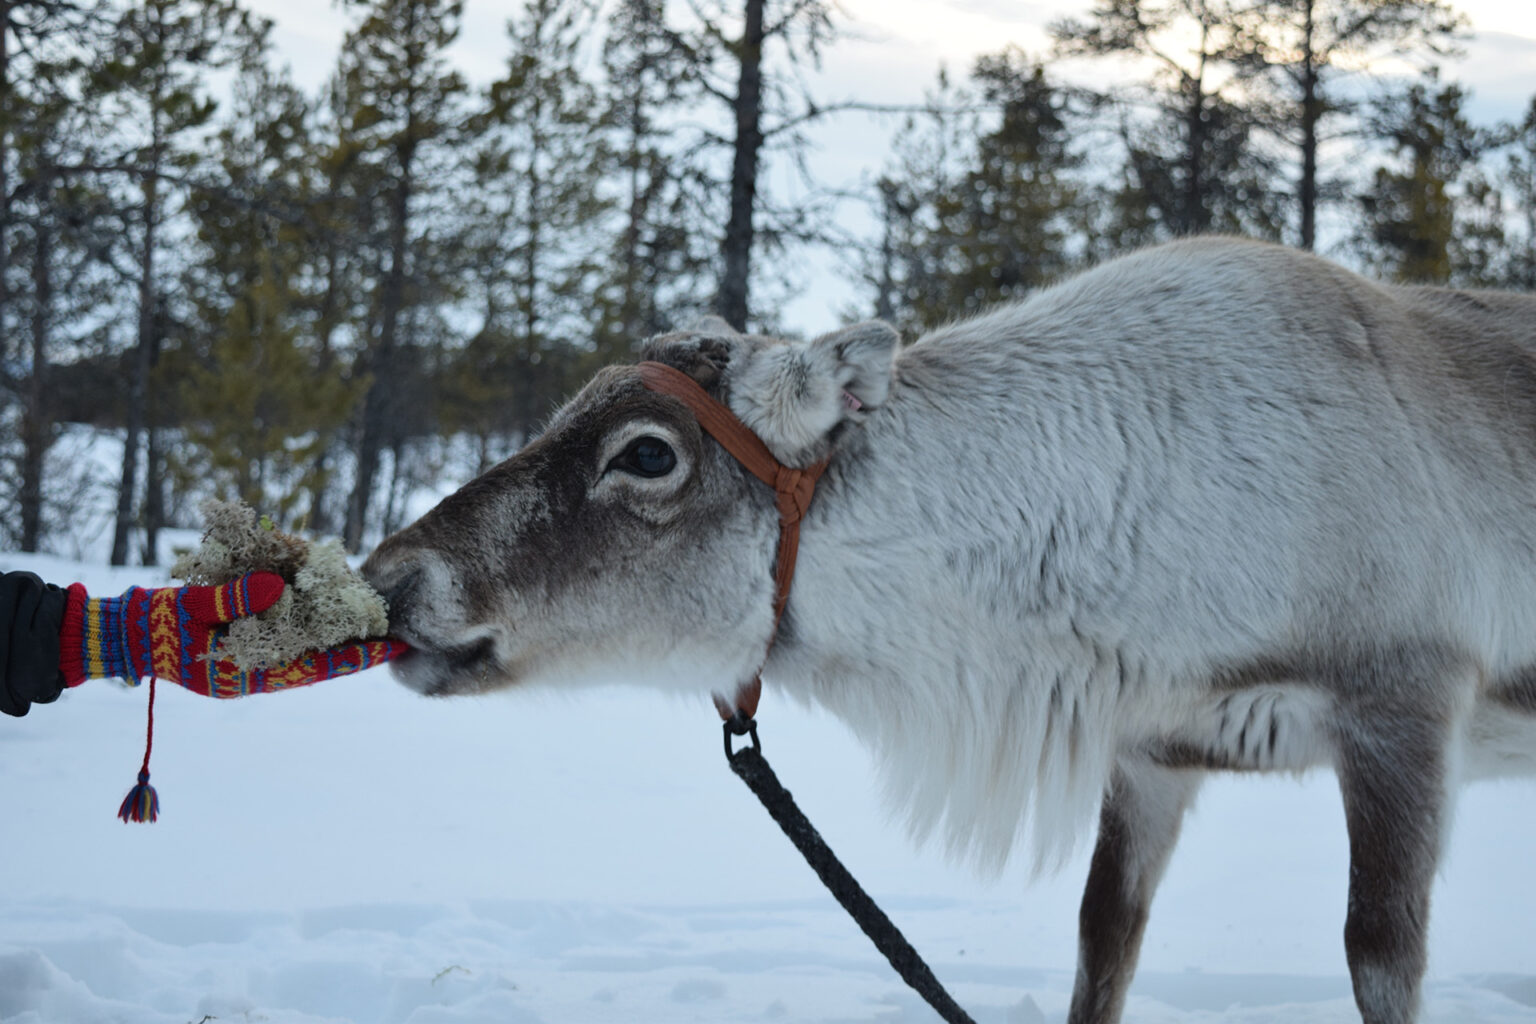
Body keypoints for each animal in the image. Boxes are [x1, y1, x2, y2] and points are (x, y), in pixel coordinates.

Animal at [362, 236, 1536, 1024]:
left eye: (646, 452)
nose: (388, 578)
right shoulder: (1154, 746)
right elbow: (1101, 946)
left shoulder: (1406, 701)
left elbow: (1380, 955)